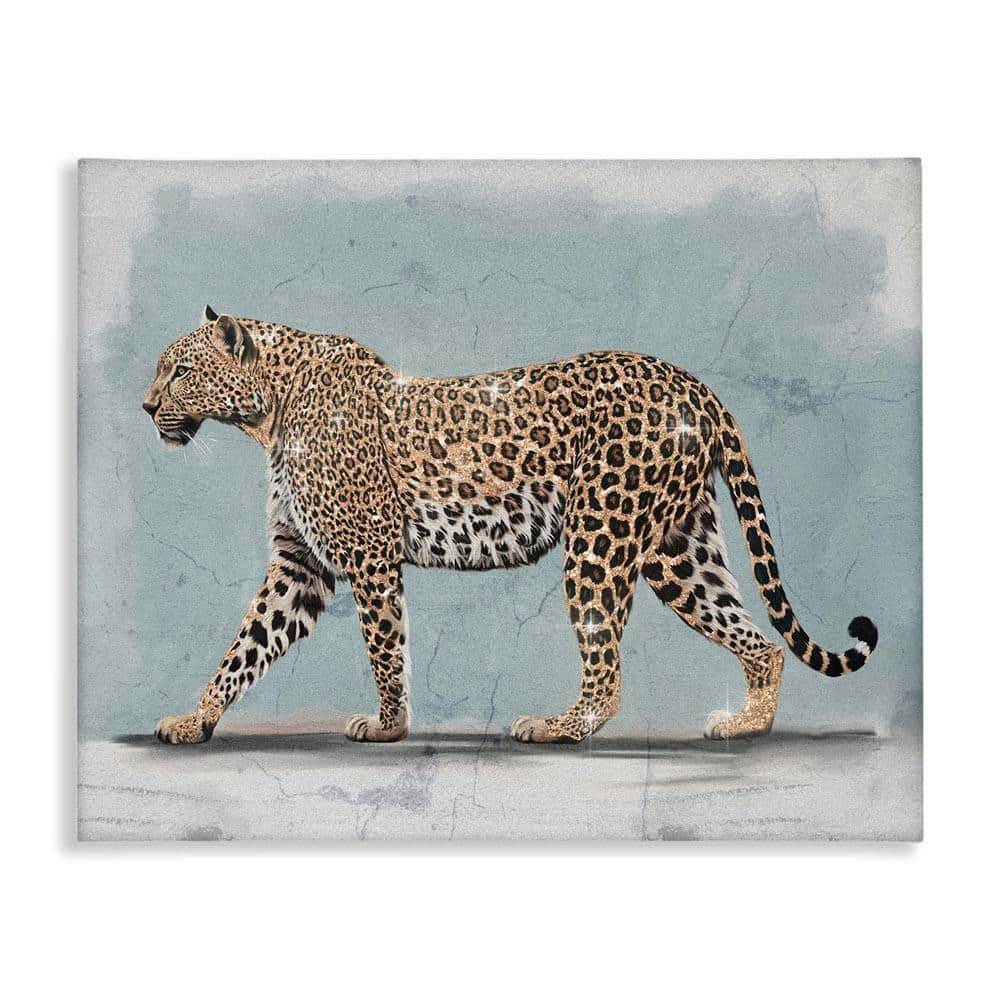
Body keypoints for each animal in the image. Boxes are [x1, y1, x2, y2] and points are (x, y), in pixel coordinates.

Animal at [142, 306, 878, 746]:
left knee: (607, 668)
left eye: (180, 371)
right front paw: (196, 718)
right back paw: (747, 723)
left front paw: (388, 726)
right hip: (679, 549)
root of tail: (693, 384)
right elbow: (245, 646)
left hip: (601, 538)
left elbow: (385, 648)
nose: (146, 405)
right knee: (758, 640)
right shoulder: (301, 564)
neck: (269, 412)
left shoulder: (368, 555)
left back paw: (558, 726)